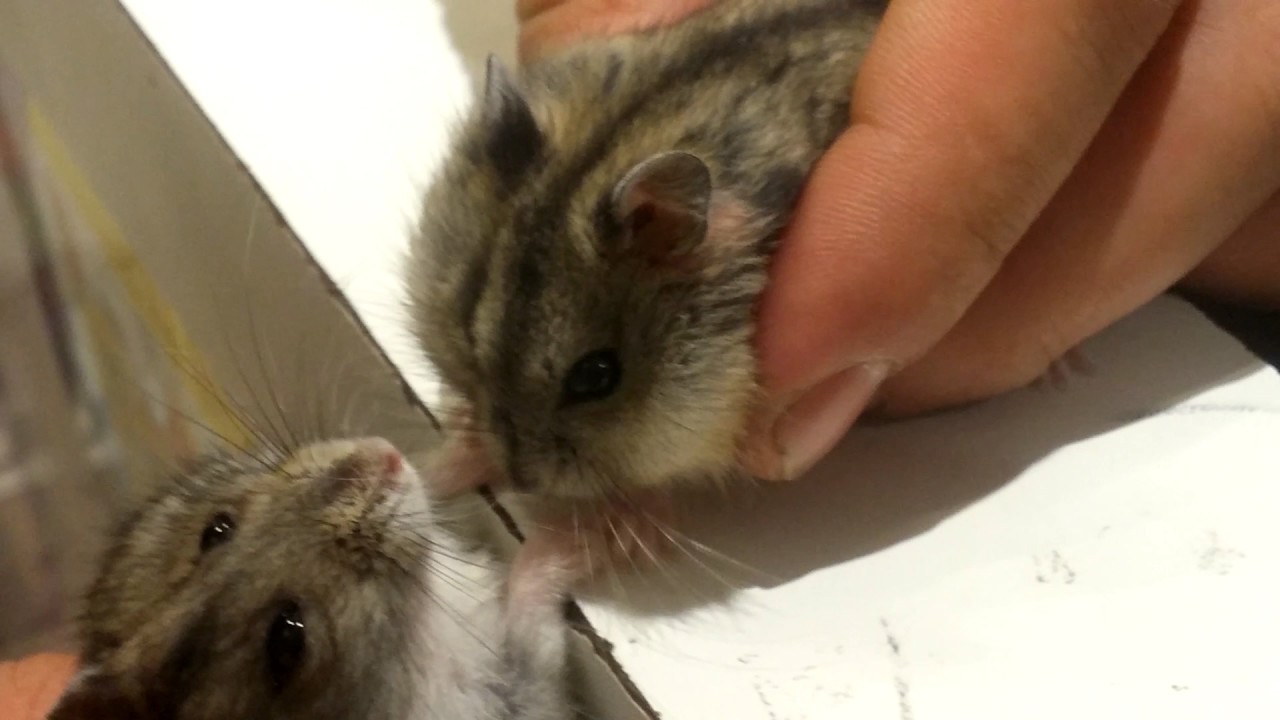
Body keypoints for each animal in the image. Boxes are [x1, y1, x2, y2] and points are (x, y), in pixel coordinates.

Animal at [46, 437, 578, 720]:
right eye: (288, 637)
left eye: (216, 529)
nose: (377, 457)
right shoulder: (515, 693)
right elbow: (533, 626)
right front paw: (563, 537)